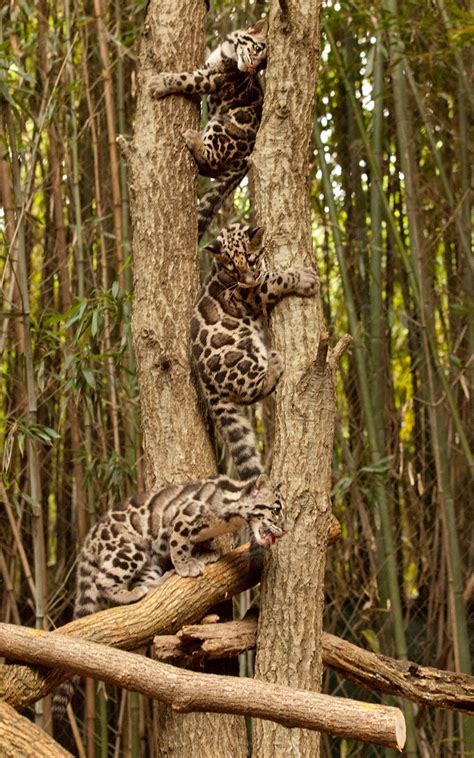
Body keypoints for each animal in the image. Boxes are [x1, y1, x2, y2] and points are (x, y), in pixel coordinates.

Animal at [52, 472, 285, 715]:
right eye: (276, 509)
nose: (285, 528)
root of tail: (91, 535)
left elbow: (200, 541)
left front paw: (206, 552)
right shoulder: (183, 518)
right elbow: (179, 544)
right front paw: (186, 564)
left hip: (147, 559)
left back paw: (158, 581)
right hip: (129, 550)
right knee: (102, 579)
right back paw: (131, 592)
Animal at [149, 19, 268, 239]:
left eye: (262, 66)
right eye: (257, 50)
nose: (251, 68)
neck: (229, 50)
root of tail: (248, 159)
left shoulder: (210, 79)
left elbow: (185, 80)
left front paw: (160, 83)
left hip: (221, 123)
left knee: (210, 161)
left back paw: (194, 139)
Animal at [191, 223, 319, 480]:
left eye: (250, 260)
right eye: (233, 268)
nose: (248, 281)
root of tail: (206, 383)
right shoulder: (249, 294)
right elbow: (276, 279)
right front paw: (303, 278)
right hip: (242, 349)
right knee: (251, 390)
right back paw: (274, 365)